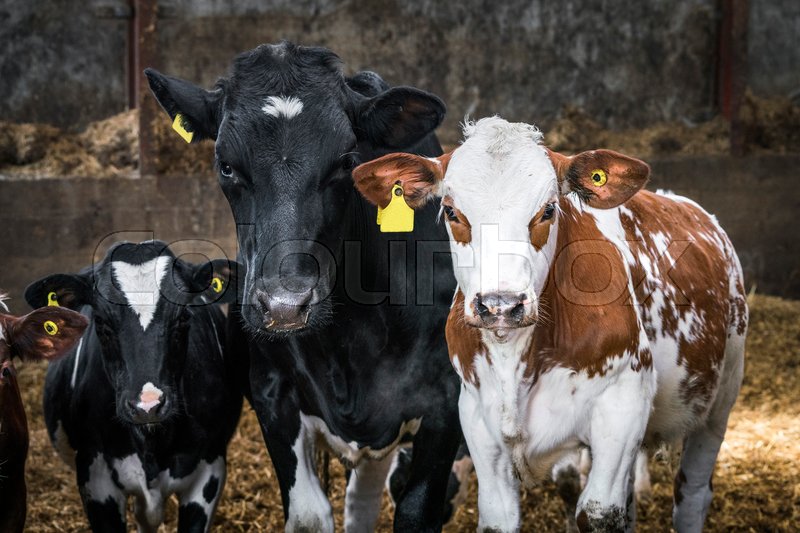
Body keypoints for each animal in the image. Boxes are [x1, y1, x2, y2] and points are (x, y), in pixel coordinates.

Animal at [145, 41, 461, 531]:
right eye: (226, 166)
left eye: (347, 161)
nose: (285, 306)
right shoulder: (272, 390)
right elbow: (310, 513)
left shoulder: (446, 402)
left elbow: (418, 510)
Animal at [352, 116, 747, 532]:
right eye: (451, 212)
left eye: (547, 210)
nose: (500, 305)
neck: (514, 359)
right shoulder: (476, 418)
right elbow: (500, 517)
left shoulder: (622, 404)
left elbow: (598, 512)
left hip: (721, 399)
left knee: (692, 493)